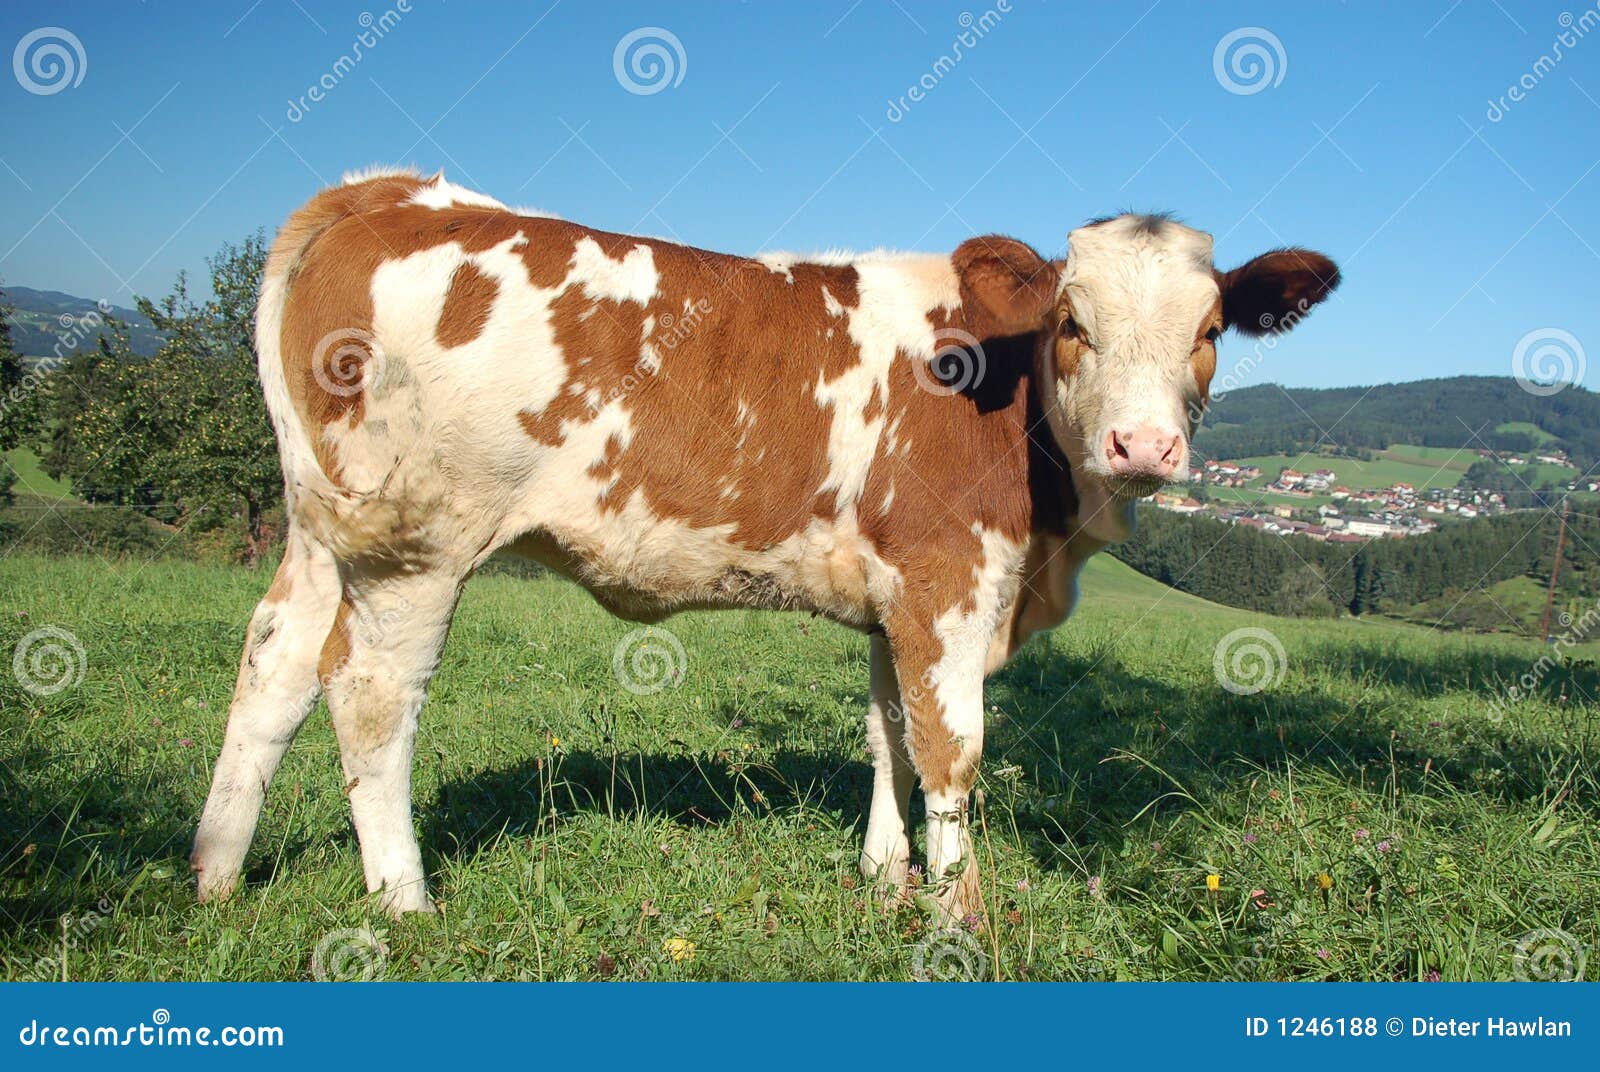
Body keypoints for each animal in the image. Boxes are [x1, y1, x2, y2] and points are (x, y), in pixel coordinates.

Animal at [192, 168, 1338, 920]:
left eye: (1211, 330)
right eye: (1072, 325)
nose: (1143, 446)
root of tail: (396, 193)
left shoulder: (891, 593)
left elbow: (888, 731)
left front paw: (884, 876)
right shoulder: (947, 578)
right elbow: (951, 746)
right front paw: (956, 913)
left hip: (324, 528)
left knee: (273, 664)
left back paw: (214, 872)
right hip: (417, 544)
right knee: (370, 694)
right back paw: (405, 901)